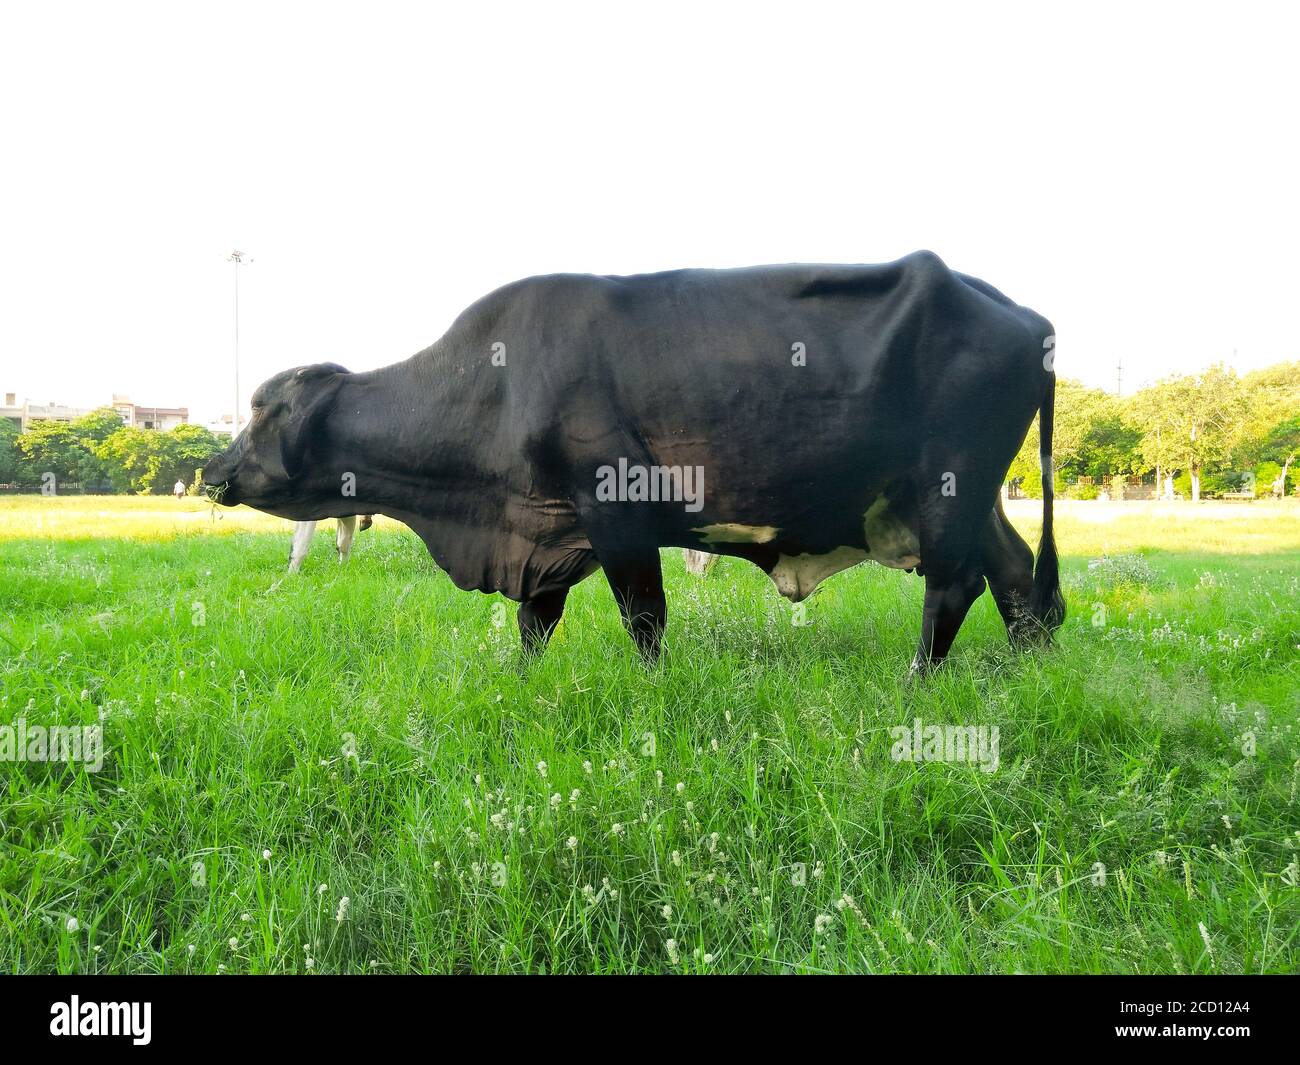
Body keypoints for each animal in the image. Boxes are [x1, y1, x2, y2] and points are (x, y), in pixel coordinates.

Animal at [201, 251, 1064, 670]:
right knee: (1019, 576)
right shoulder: (544, 532)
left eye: (262, 407)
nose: (211, 469)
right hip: (969, 495)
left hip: (950, 485)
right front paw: (523, 683)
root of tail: (1022, 313)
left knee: (956, 585)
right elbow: (534, 621)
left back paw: (919, 678)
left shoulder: (614, 507)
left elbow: (643, 616)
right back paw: (1031, 670)